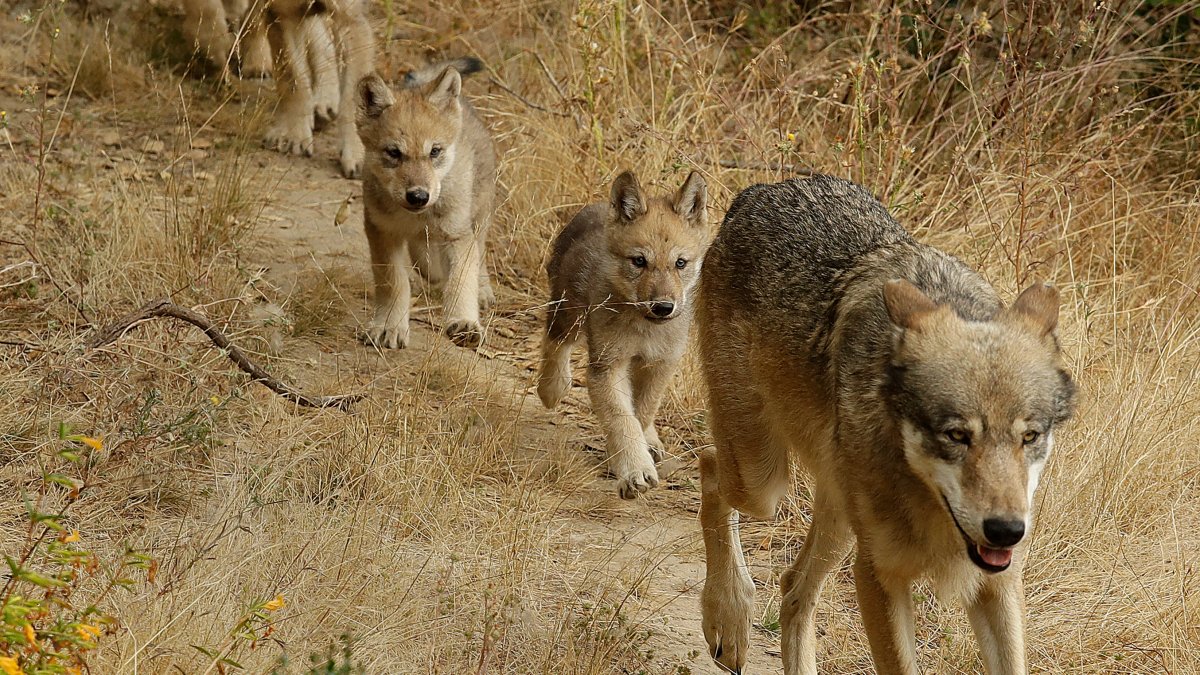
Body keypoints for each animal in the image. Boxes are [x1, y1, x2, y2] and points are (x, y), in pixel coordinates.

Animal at [355, 58, 497, 350]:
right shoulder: (381, 232)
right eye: (394, 153)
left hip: (478, 218)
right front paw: (389, 326)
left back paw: (483, 290)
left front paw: (464, 322)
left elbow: (461, 280)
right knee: (428, 264)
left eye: (435, 151)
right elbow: (394, 283)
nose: (419, 196)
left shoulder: (457, 235)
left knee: (479, 254)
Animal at [537, 170, 708, 499]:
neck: (645, 330)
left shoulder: (660, 364)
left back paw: (652, 442)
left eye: (680, 263)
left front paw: (630, 457)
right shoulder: (607, 366)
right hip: (568, 314)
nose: (663, 307)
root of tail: (595, 206)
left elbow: (642, 413)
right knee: (554, 343)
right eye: (639, 261)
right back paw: (552, 388)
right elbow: (622, 419)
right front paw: (634, 470)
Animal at [696, 175, 1076, 674]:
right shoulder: (878, 574)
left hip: (835, 518)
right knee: (709, 468)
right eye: (957, 435)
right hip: (764, 483)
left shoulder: (997, 582)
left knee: (792, 587)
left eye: (1029, 437)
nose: (1007, 530)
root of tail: (761, 190)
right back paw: (728, 618)